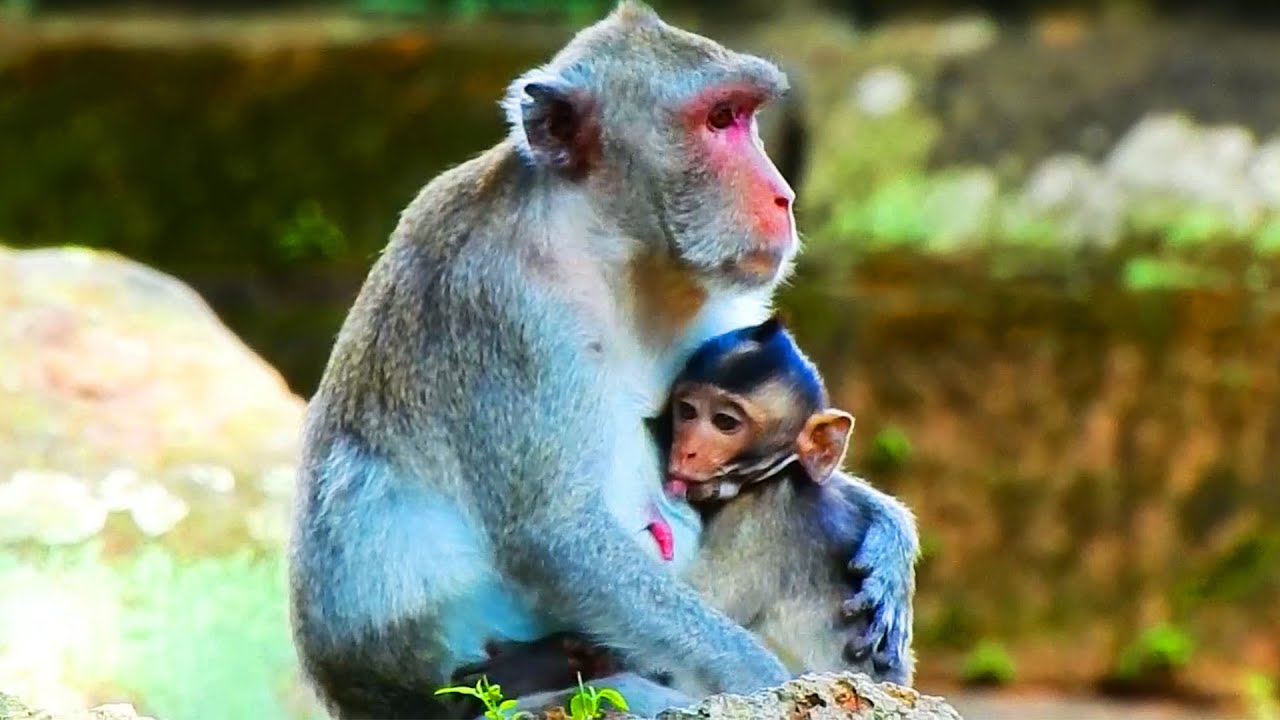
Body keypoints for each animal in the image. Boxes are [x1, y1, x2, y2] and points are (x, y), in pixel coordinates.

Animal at [448, 318, 917, 710]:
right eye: (687, 410)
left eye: (726, 422)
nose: (685, 449)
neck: (776, 477)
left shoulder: (756, 524)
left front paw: (528, 666)